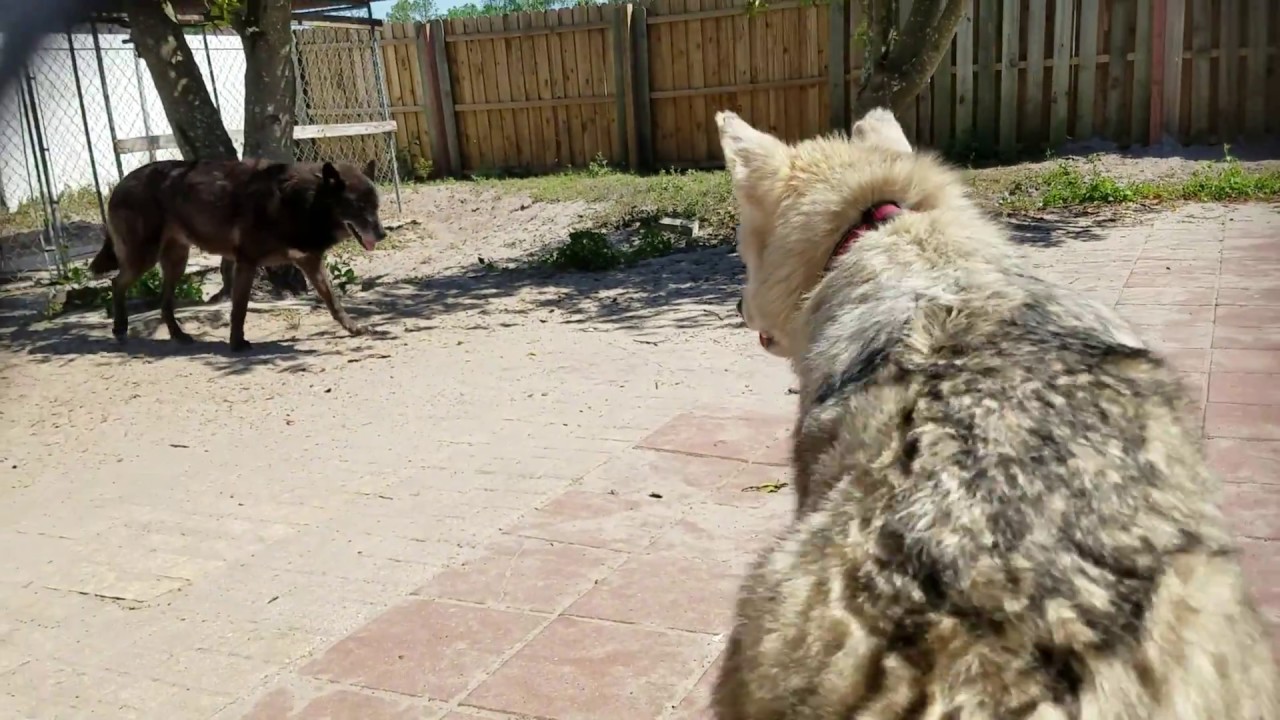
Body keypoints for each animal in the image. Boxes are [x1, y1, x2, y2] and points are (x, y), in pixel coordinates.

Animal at [89, 159, 386, 352]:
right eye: (358, 207)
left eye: (376, 206)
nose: (382, 234)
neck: (304, 203)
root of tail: (121, 182)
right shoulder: (246, 262)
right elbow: (239, 308)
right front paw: (237, 343)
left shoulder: (309, 262)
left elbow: (333, 302)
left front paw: (354, 328)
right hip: (145, 258)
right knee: (116, 282)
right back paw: (120, 328)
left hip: (176, 263)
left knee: (164, 303)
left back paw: (178, 335)